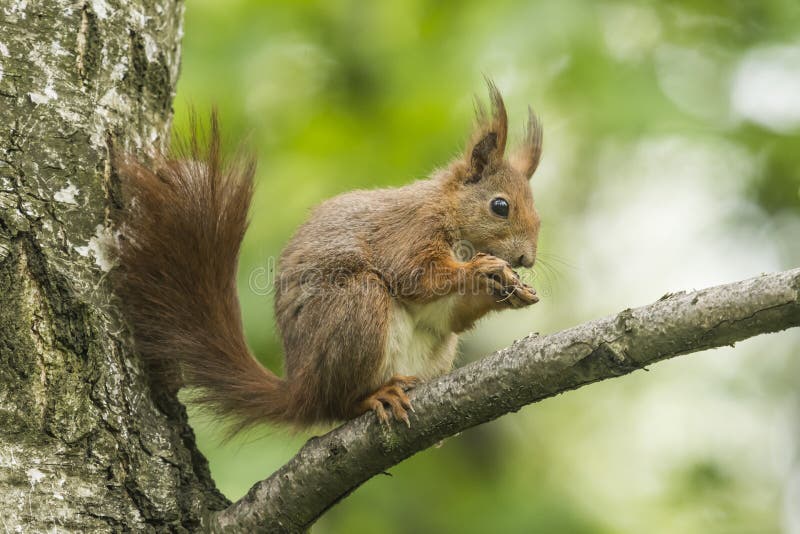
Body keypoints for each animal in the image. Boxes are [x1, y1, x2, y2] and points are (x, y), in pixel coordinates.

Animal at [115, 80, 543, 434]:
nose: (527, 259)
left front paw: (512, 291)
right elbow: (415, 275)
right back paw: (373, 396)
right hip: (357, 307)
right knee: (340, 405)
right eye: (500, 206)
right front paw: (483, 269)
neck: (453, 219)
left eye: (537, 215)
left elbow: (446, 315)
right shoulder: (410, 232)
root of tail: (302, 391)